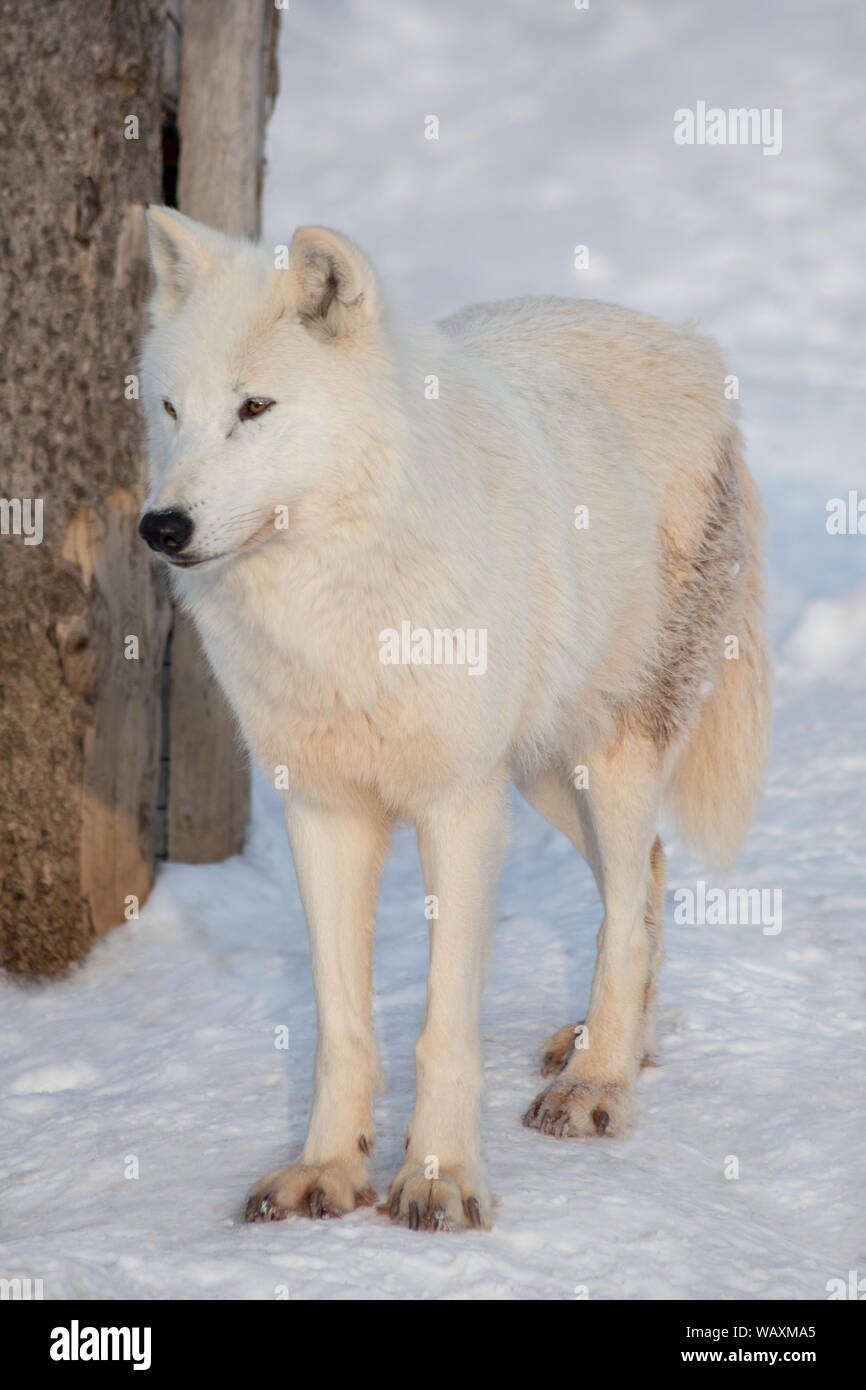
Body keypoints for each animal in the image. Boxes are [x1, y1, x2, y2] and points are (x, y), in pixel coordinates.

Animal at [139, 207, 772, 1232]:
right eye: (169, 411)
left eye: (255, 409)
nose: (161, 527)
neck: (336, 605)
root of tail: (692, 346)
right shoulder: (323, 811)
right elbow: (341, 1027)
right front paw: (325, 1172)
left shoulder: (459, 807)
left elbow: (443, 1027)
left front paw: (437, 1180)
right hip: (544, 776)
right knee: (648, 875)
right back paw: (615, 1049)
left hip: (606, 757)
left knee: (627, 905)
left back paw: (595, 1083)